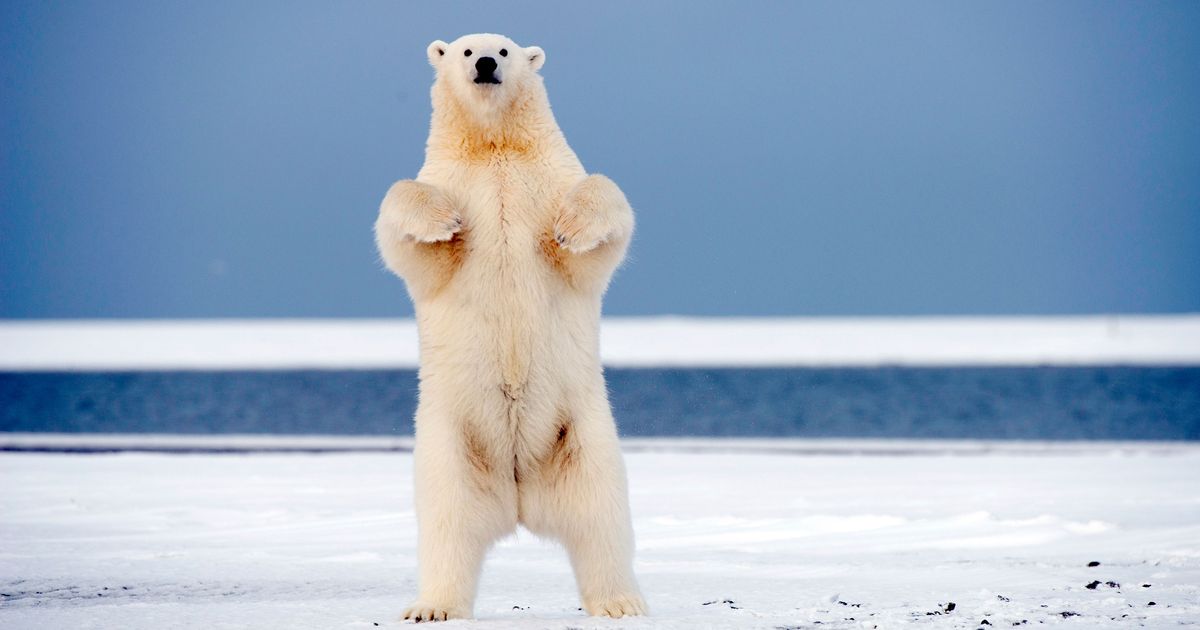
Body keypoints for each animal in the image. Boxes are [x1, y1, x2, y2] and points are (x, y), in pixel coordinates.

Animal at [374, 33, 647, 621]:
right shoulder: (451, 180)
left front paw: (570, 226)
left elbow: (597, 222)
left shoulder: (549, 178)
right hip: (450, 440)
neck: (495, 147)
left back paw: (619, 602)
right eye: (464, 49)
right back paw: (433, 607)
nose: (484, 64)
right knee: (448, 523)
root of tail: (520, 497)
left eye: (504, 49)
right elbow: (410, 234)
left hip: (583, 433)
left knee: (601, 517)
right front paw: (444, 220)